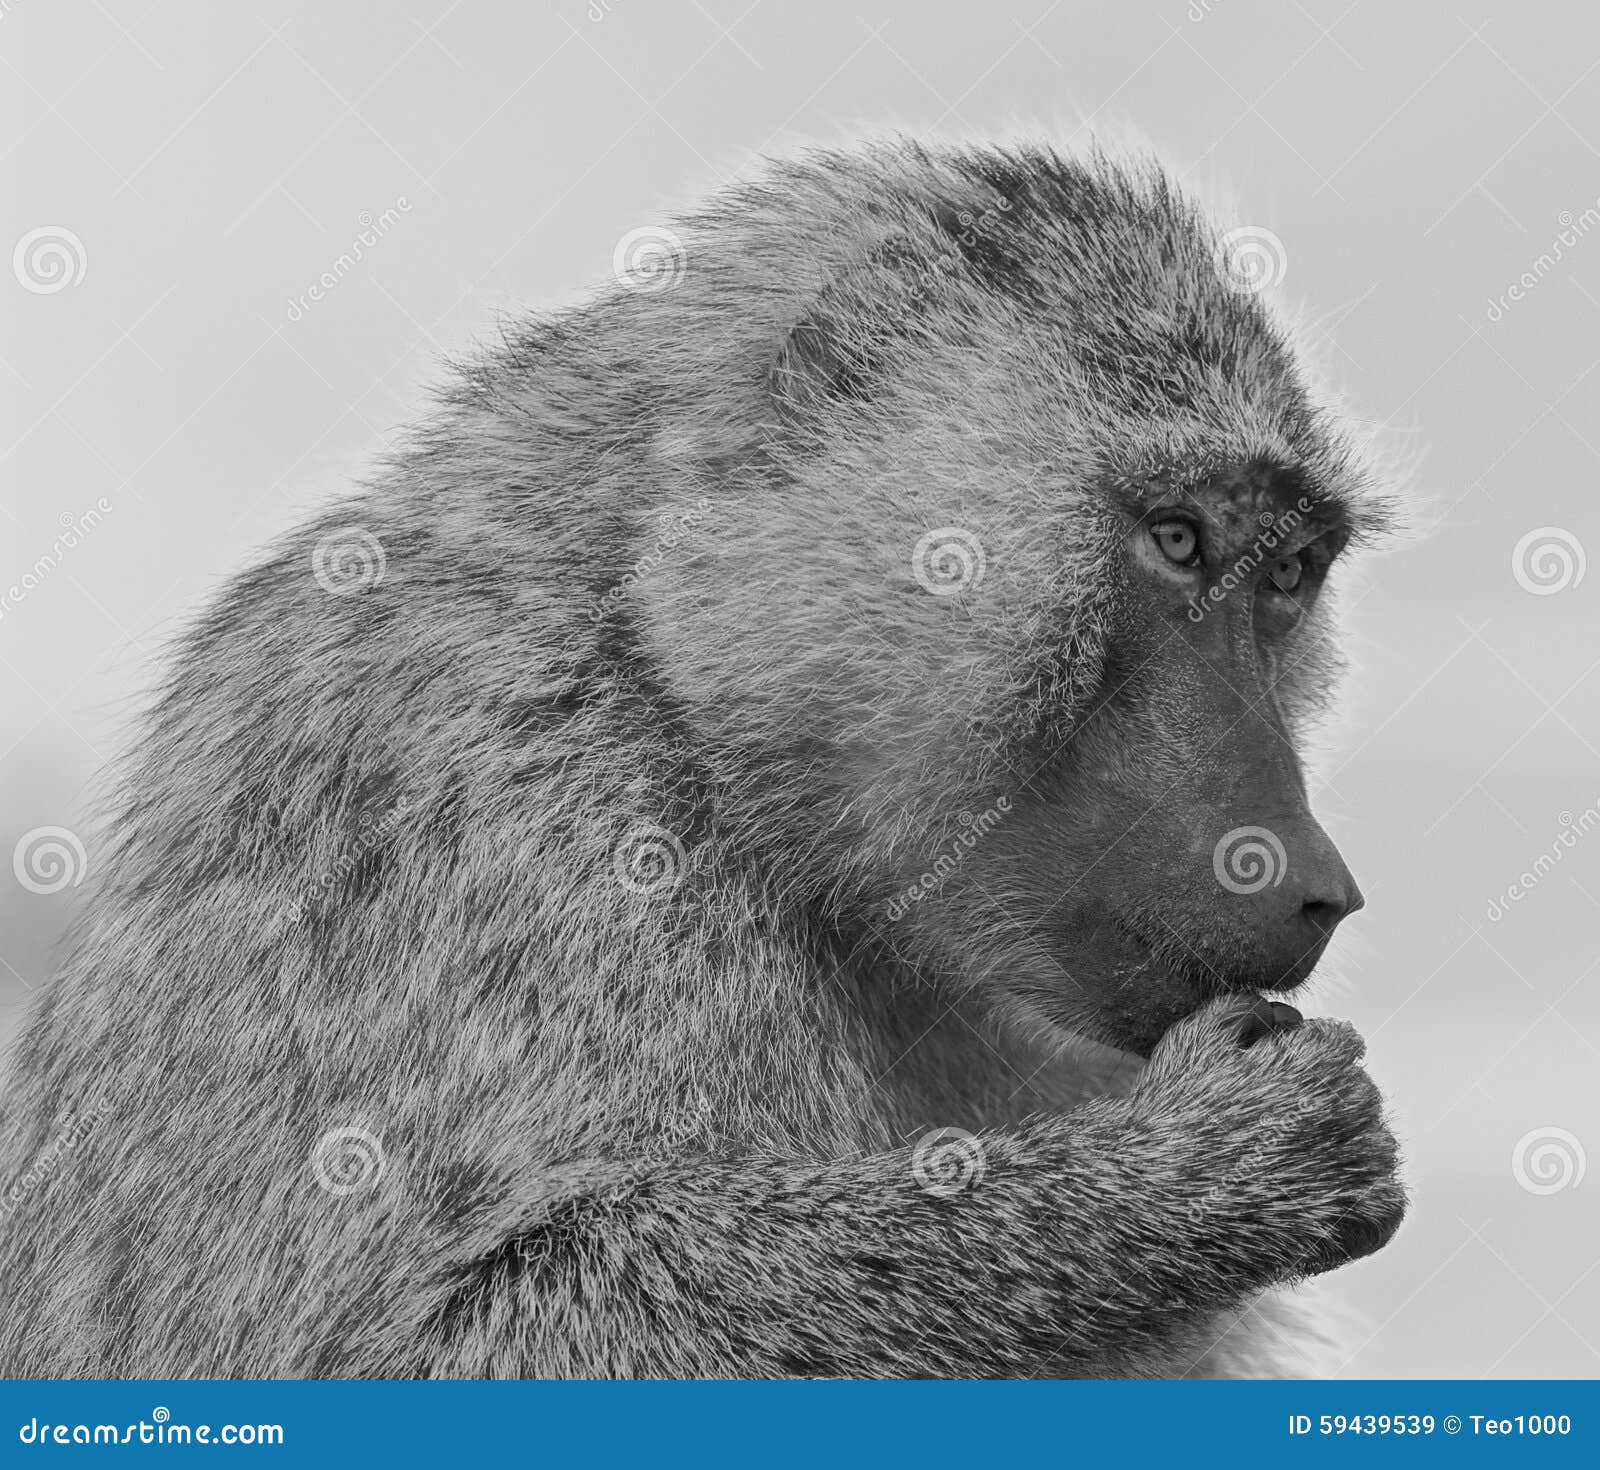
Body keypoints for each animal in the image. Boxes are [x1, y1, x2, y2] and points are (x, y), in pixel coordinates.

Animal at [0, 139, 1404, 1379]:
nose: (1314, 884)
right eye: (1175, 540)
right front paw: (1211, 1169)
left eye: (1286, 572)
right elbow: (433, 1345)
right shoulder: (493, 791)